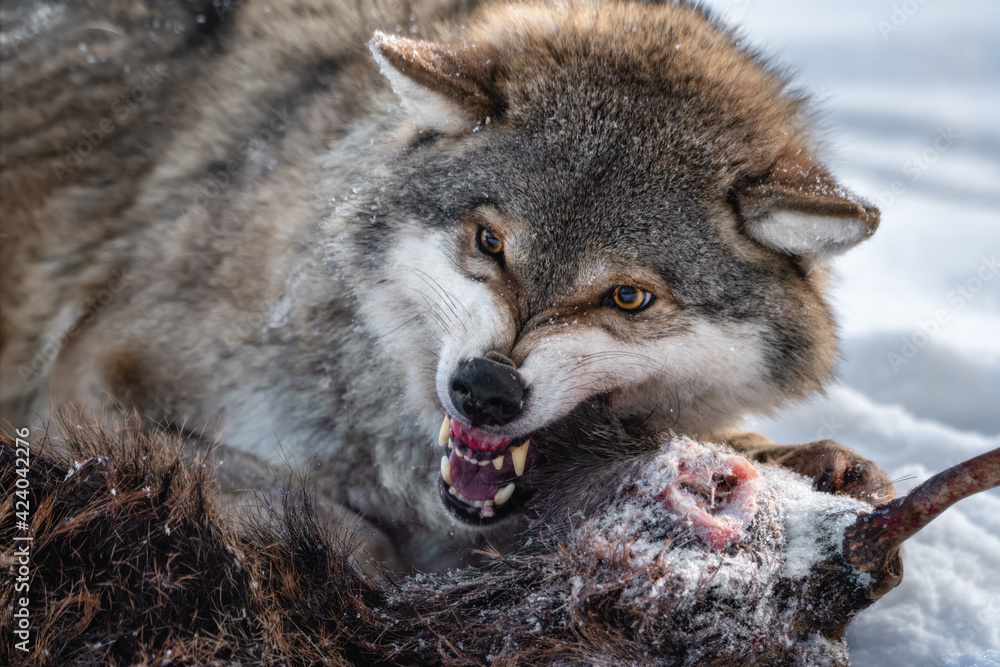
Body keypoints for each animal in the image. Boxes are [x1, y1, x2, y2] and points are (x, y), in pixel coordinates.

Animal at [0, 0, 882, 570]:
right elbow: (338, 522)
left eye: (629, 297)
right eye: (490, 242)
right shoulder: (85, 382)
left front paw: (816, 462)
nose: (486, 389)